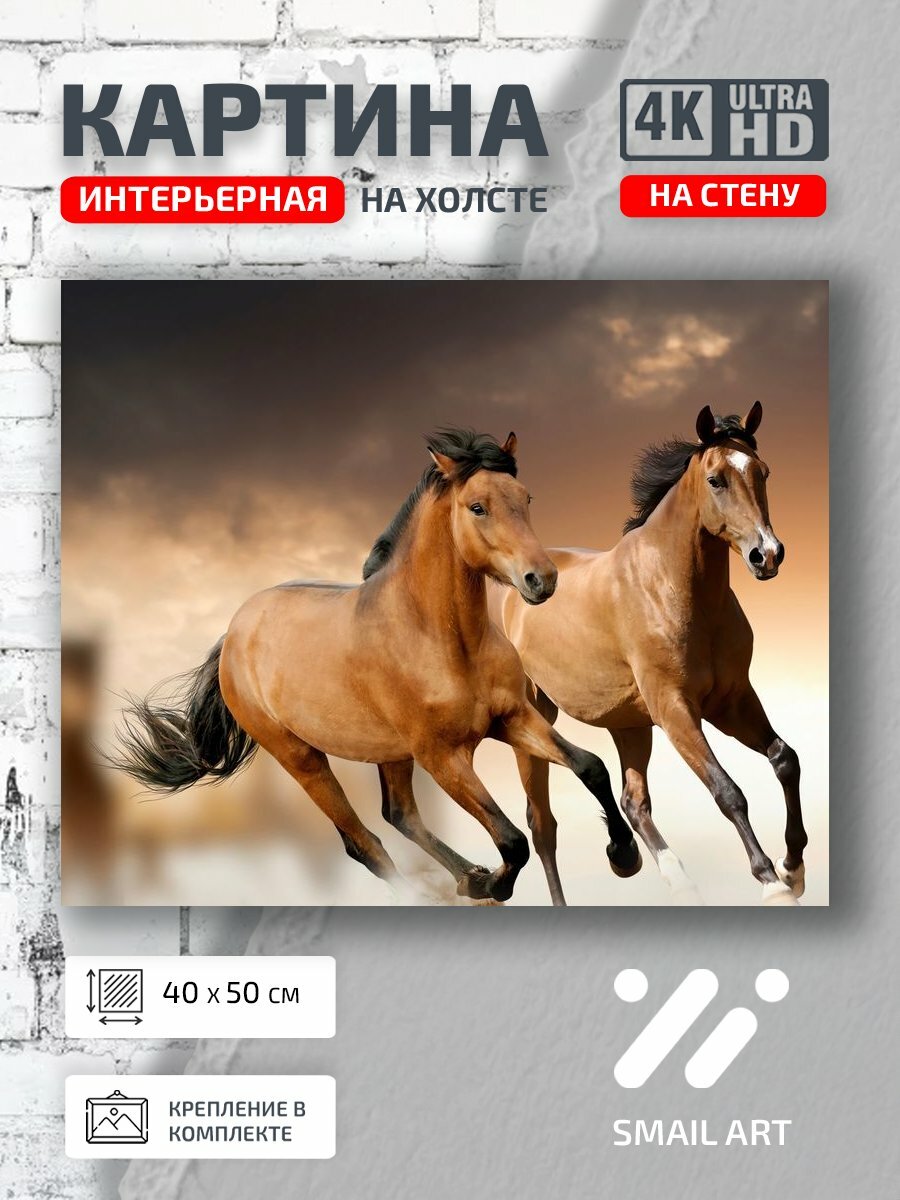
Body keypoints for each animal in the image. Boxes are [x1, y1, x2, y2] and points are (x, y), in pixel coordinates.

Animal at [112, 429, 641, 904]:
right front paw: (495, 884)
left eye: (525, 497)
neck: (443, 640)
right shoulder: (443, 756)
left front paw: (624, 856)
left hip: (389, 751)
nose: (542, 579)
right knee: (363, 843)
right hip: (302, 758)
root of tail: (233, 636)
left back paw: (466, 875)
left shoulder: (512, 719)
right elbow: (512, 840)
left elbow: (591, 767)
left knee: (399, 814)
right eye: (477, 507)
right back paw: (449, 888)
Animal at [502, 403, 808, 907]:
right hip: (534, 719)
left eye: (762, 472)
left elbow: (785, 758)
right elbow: (727, 791)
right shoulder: (676, 710)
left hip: (628, 723)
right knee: (542, 825)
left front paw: (794, 867)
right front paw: (771, 882)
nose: (767, 555)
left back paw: (669, 876)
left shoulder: (732, 701)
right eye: (716, 479)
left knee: (633, 801)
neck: (672, 589)